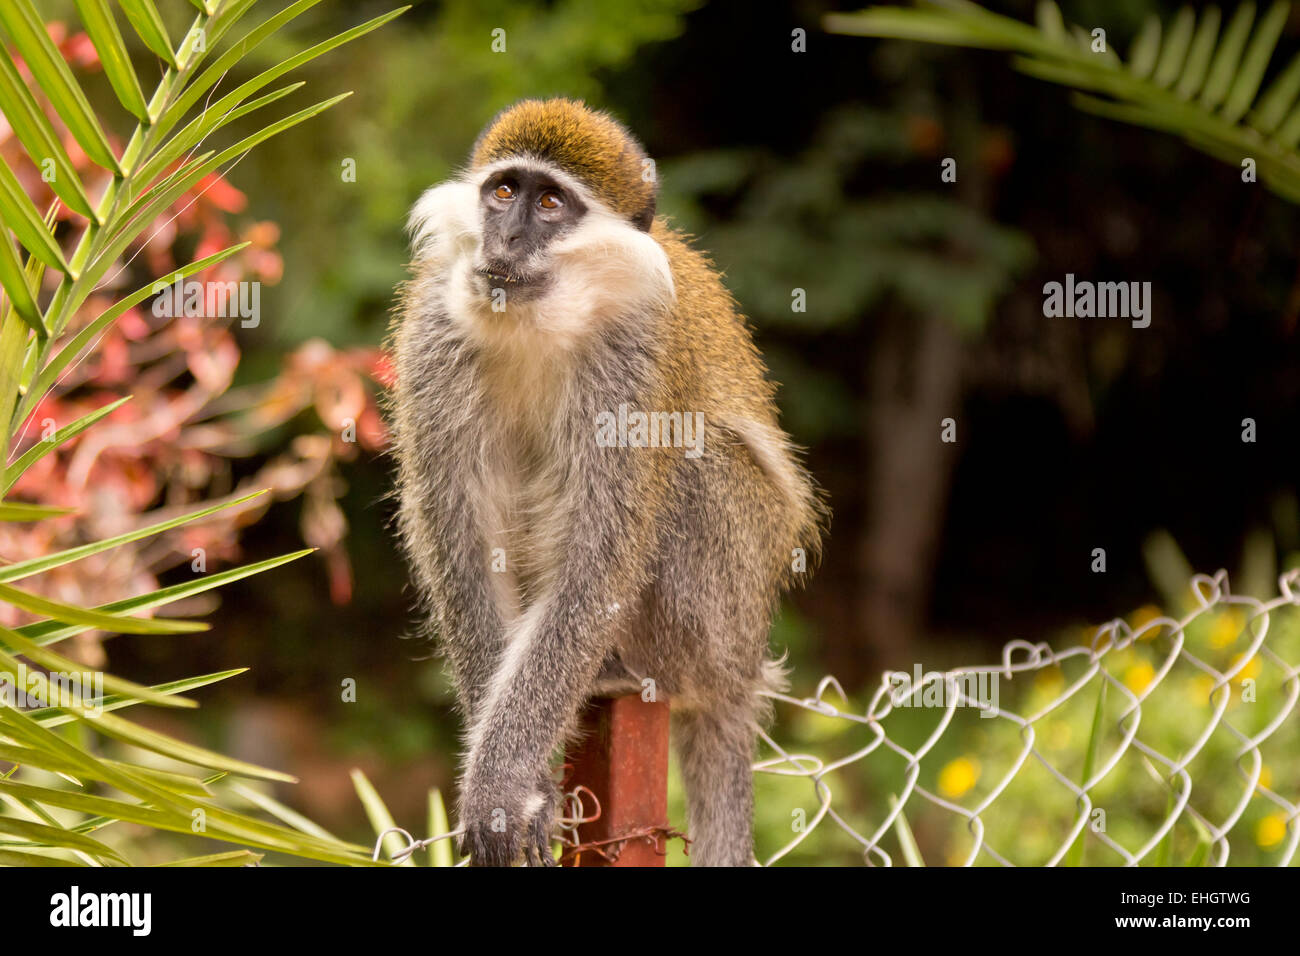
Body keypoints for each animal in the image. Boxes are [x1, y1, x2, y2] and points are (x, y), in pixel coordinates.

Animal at [388, 98, 825, 866]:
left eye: (550, 204)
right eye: (504, 191)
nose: (505, 239)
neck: (541, 320)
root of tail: (741, 671)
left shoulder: (634, 355)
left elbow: (597, 562)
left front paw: (502, 783)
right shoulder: (435, 329)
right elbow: (462, 543)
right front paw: (519, 775)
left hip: (723, 608)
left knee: (697, 459)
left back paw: (622, 669)